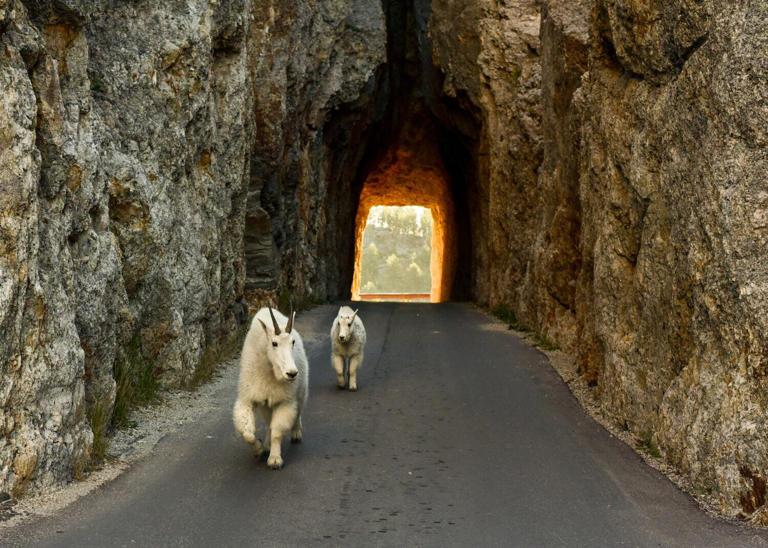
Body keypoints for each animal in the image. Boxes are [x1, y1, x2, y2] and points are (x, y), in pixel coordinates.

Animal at [233, 306, 308, 469]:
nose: (291, 373)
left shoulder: (284, 402)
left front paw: (274, 460)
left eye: (292, 342)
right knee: (268, 424)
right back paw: (266, 445)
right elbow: (248, 433)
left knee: (298, 411)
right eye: (274, 343)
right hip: (265, 404)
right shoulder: (249, 398)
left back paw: (296, 433)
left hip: (301, 391)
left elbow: (277, 432)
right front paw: (259, 450)